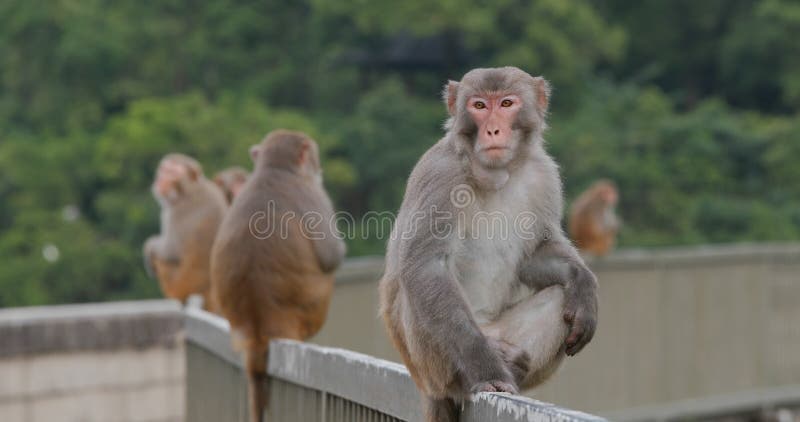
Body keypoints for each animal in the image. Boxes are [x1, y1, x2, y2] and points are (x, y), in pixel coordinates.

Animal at [143, 153, 228, 312]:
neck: (191, 188)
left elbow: (171, 251)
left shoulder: (176, 212)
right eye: (164, 169)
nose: (161, 180)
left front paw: (149, 246)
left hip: (176, 283)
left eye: (173, 173)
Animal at [210, 130, 346, 422]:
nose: (319, 169)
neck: (272, 169)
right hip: (312, 307)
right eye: (313, 157)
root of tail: (258, 327)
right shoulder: (313, 196)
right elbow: (331, 255)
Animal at [378, 67, 599, 422]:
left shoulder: (544, 175)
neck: (496, 174)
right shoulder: (440, 175)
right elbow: (427, 268)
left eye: (507, 103)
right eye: (479, 105)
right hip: (430, 364)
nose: (493, 129)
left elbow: (536, 254)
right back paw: (484, 368)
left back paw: (515, 364)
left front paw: (584, 284)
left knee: (560, 298)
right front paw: (486, 370)